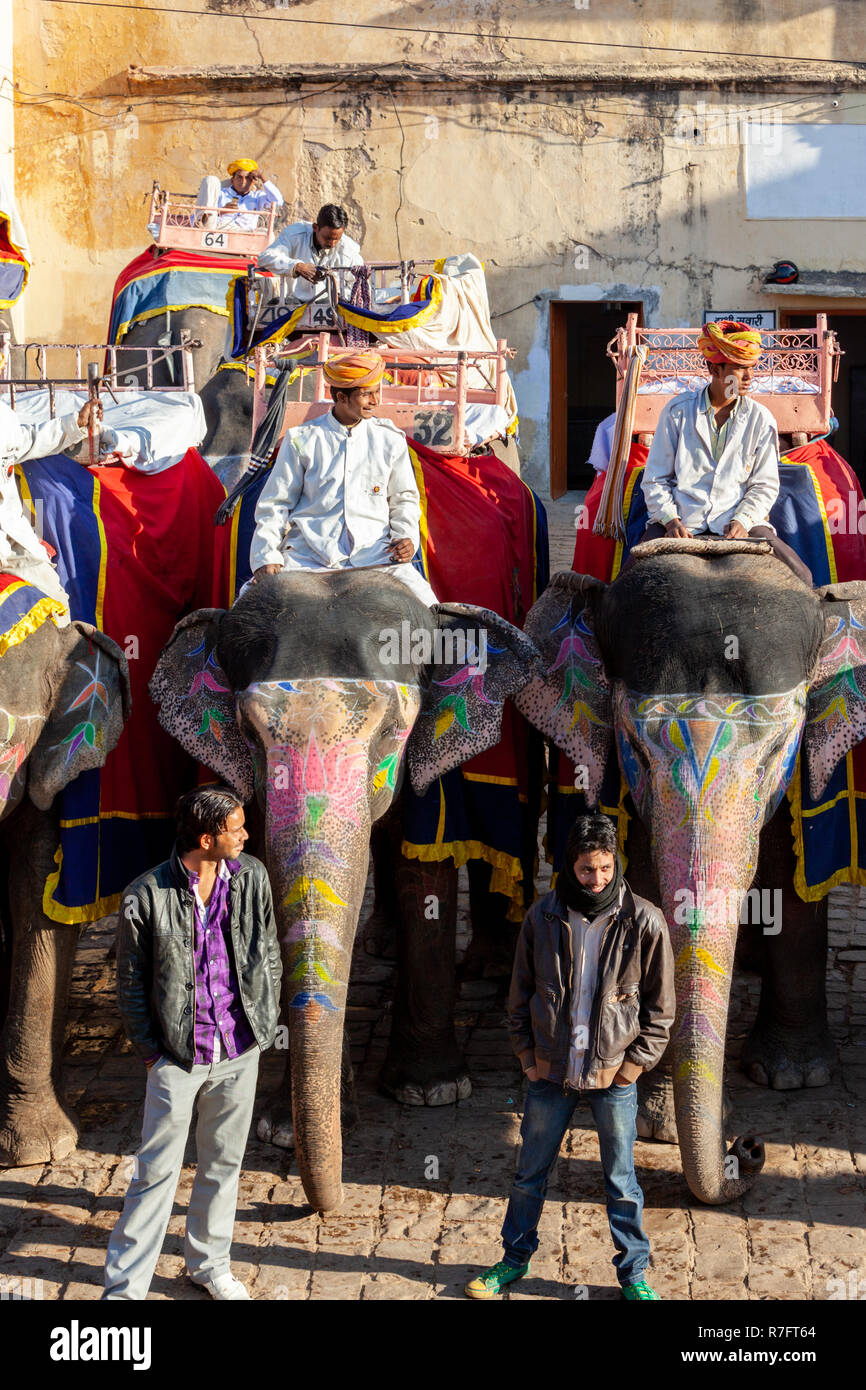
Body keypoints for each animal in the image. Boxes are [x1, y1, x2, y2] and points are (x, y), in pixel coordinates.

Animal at [149, 568, 547, 1212]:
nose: (323, 1204)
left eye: (390, 732)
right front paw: (282, 1129)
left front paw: (431, 1089)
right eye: (246, 732)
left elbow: (423, 865)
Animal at [515, 539, 866, 1204]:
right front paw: (658, 1125)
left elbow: (789, 864)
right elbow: (648, 876)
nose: (748, 1149)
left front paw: (792, 1077)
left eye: (776, 752)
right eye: (634, 747)